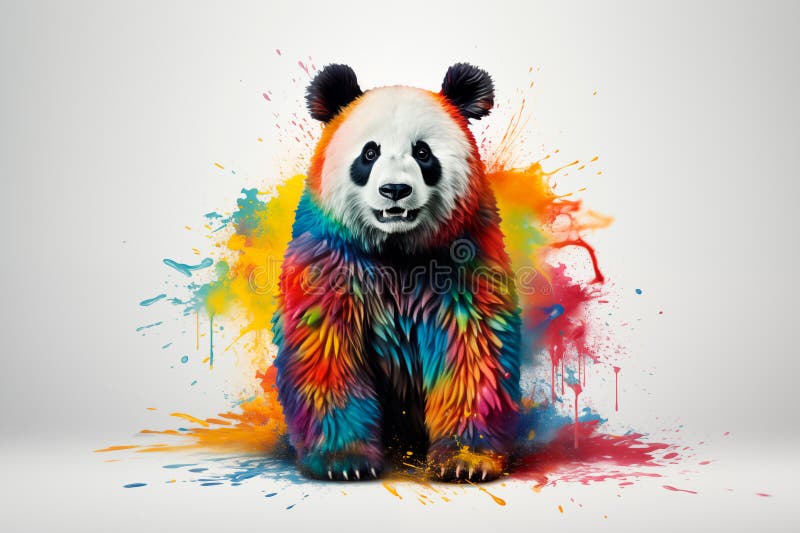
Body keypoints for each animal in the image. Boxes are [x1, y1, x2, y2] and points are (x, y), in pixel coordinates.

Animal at [273, 63, 521, 482]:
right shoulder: (336, 261)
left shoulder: (461, 259)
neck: (397, 250)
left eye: (422, 152)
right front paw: (344, 462)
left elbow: (470, 348)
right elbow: (329, 350)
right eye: (369, 152)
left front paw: (465, 460)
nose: (395, 191)